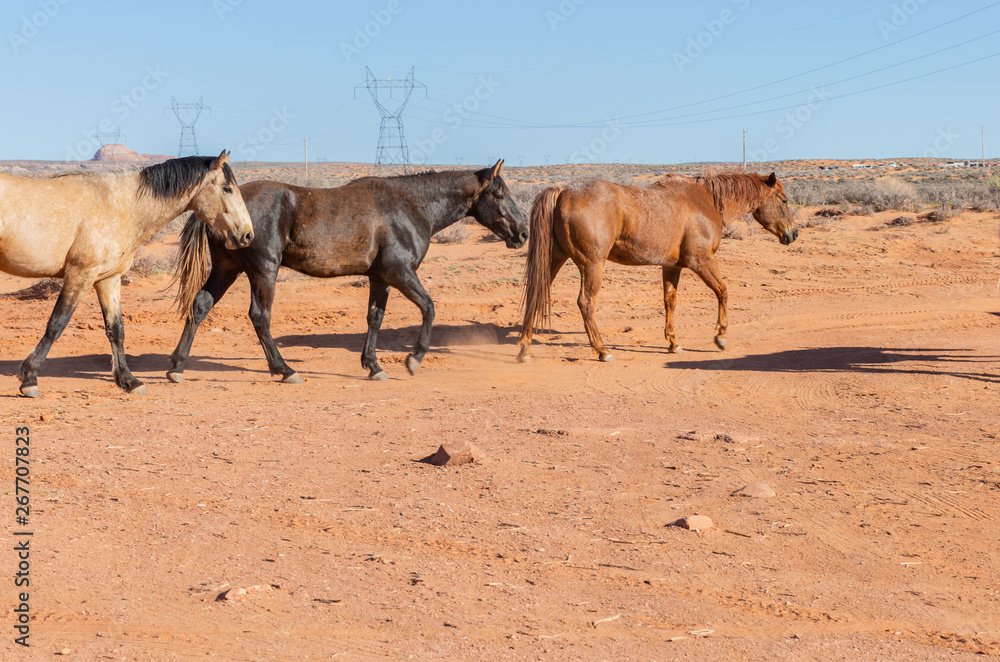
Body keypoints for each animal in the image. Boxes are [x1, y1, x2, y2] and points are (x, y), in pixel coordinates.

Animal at [0, 151, 253, 398]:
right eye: (227, 188)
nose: (248, 234)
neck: (121, 206)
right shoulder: (81, 275)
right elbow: (56, 324)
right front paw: (29, 379)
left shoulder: (108, 279)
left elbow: (116, 330)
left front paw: (128, 381)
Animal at [167, 159, 529, 383]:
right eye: (499, 194)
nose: (523, 233)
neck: (411, 206)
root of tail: (222, 214)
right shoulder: (400, 272)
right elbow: (428, 307)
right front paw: (414, 358)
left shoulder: (381, 278)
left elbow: (375, 318)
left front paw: (373, 366)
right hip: (263, 271)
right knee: (260, 317)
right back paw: (284, 370)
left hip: (227, 270)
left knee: (200, 306)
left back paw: (177, 366)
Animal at [517, 171, 799, 363]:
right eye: (784, 200)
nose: (793, 234)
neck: (705, 200)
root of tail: (563, 191)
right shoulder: (702, 261)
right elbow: (723, 291)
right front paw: (720, 336)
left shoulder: (672, 267)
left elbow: (669, 301)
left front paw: (673, 343)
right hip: (592, 265)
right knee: (585, 302)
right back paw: (602, 350)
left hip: (554, 259)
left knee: (535, 294)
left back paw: (524, 349)